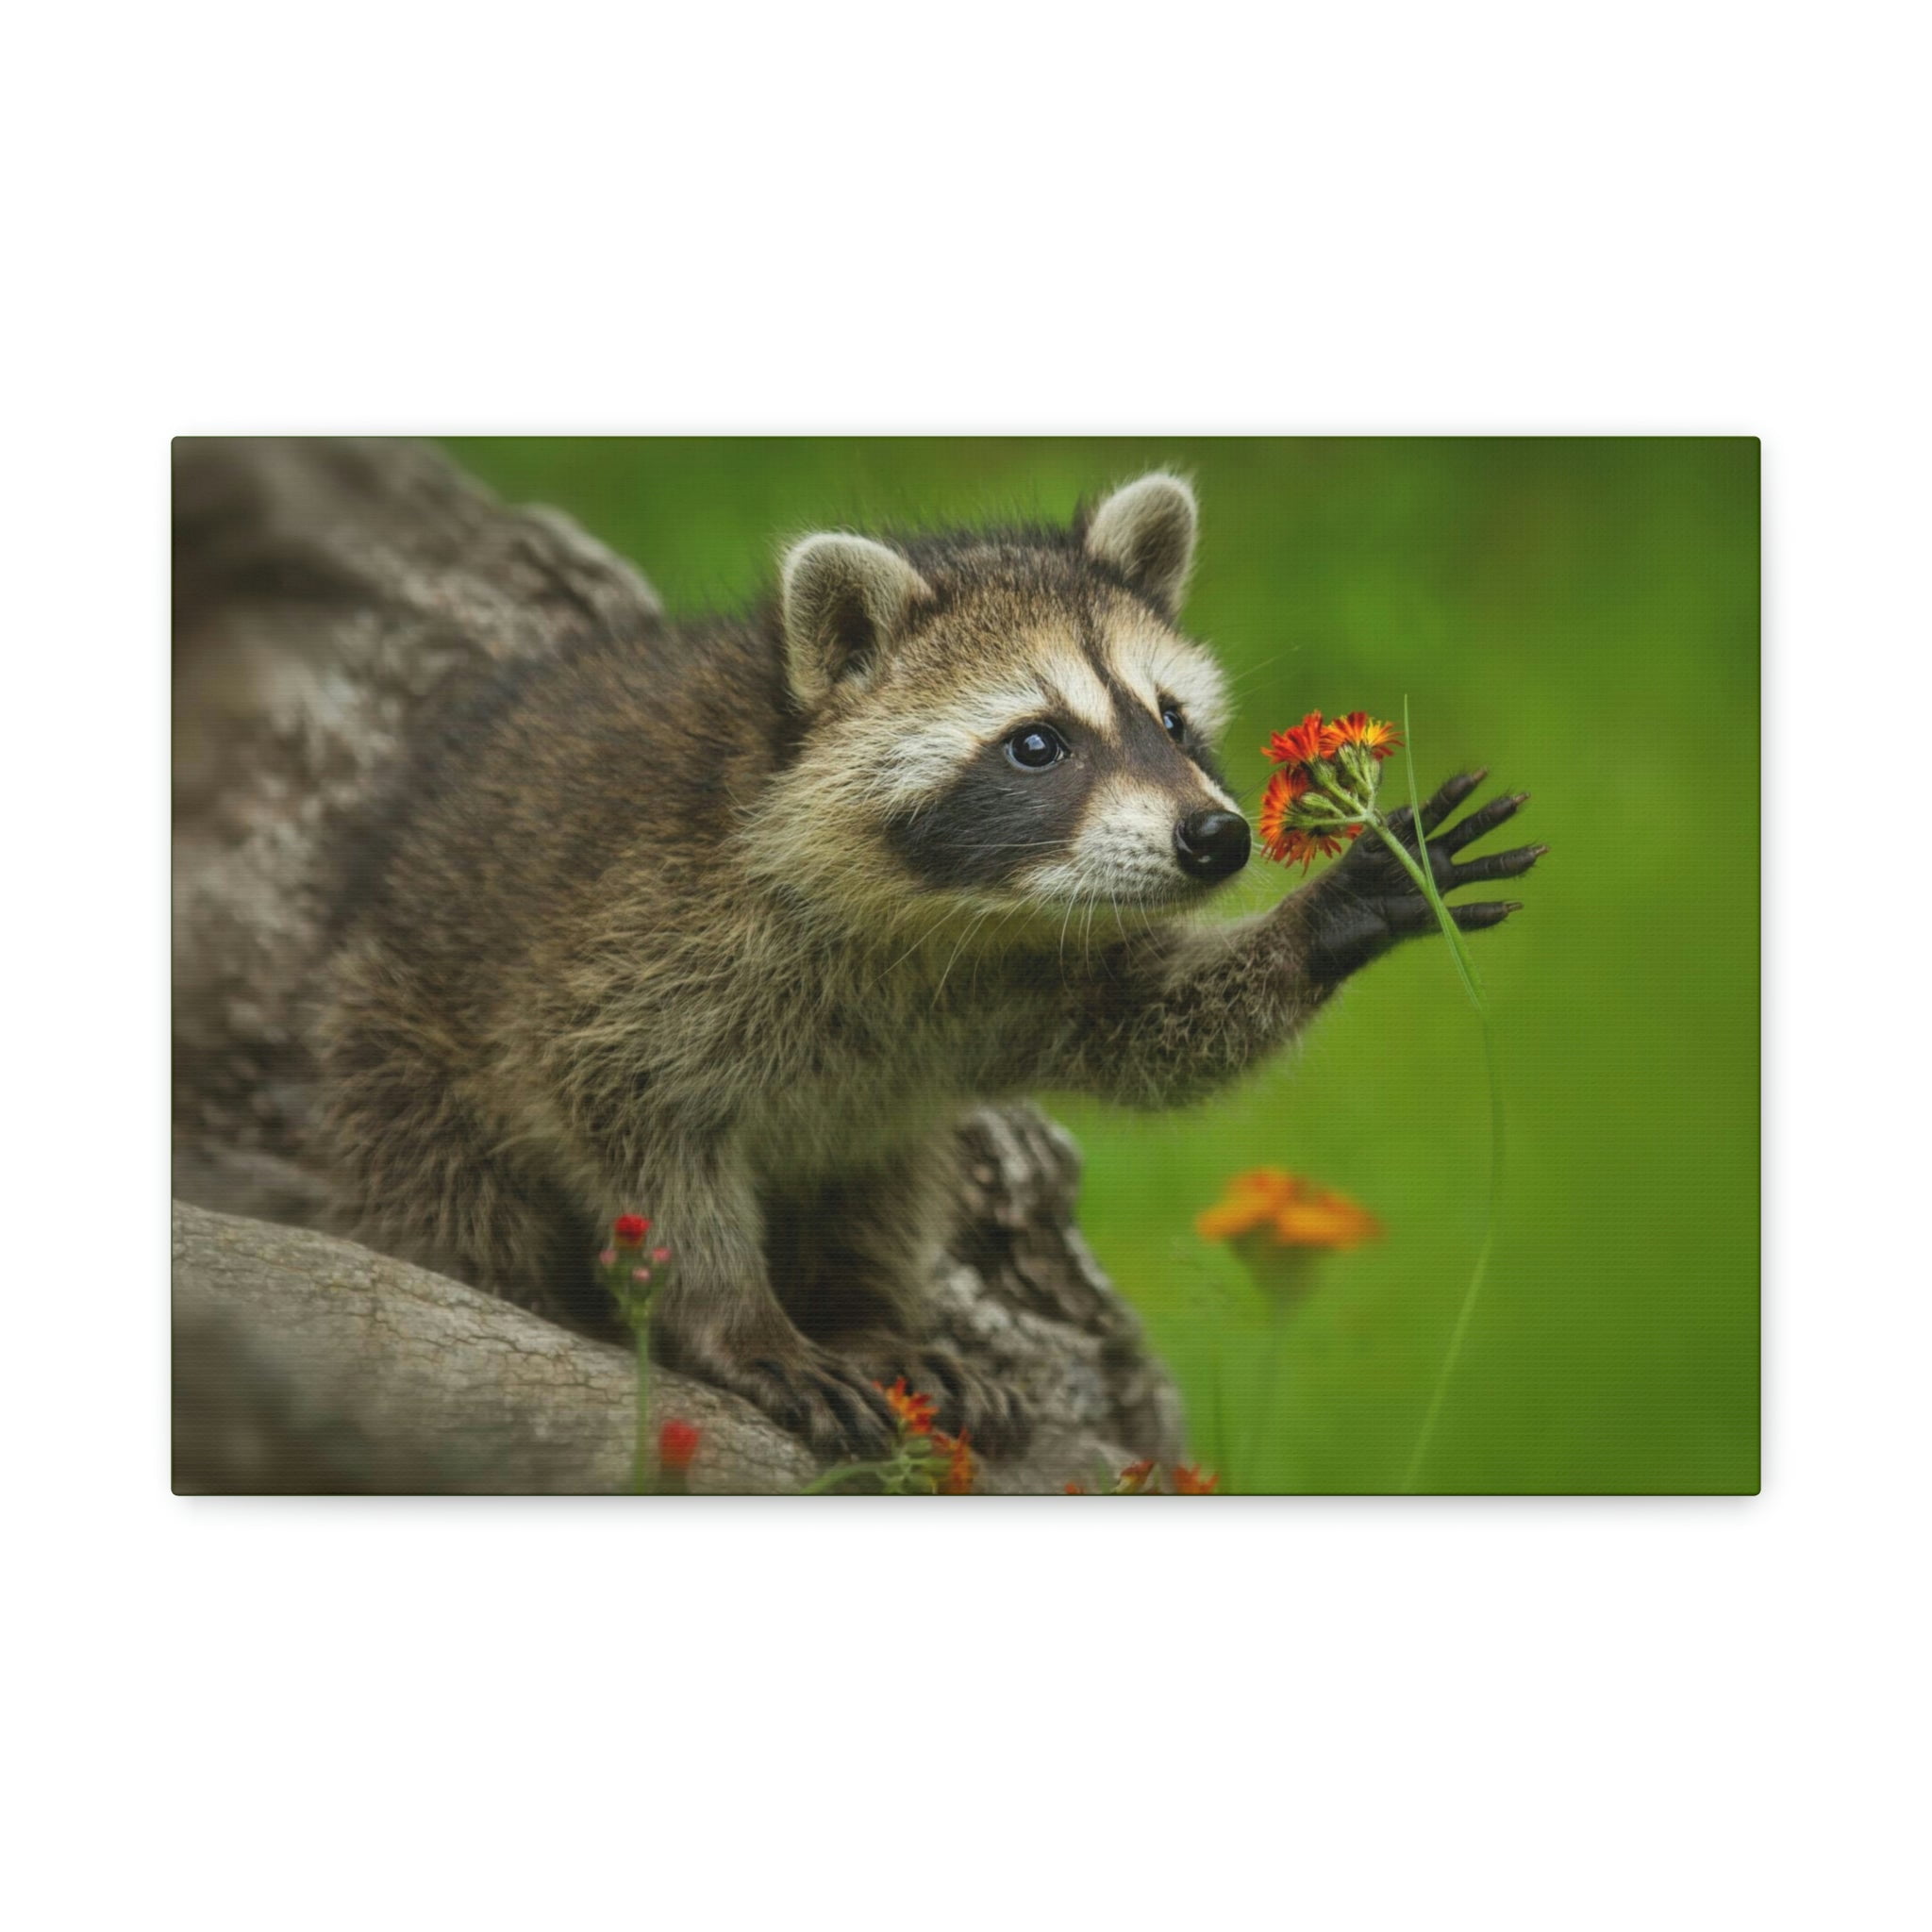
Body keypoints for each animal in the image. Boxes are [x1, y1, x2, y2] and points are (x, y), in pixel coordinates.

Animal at [315, 473, 1540, 1456]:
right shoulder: (632, 946)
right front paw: (735, 1317)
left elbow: (1152, 1027)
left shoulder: (1029, 971)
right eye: (1036, 743)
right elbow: (637, 1135)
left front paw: (1331, 913)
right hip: (394, 1053)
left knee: (883, 1176)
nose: (1217, 839)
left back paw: (867, 1312)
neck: (949, 916)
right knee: (454, 1203)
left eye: (1171, 721)